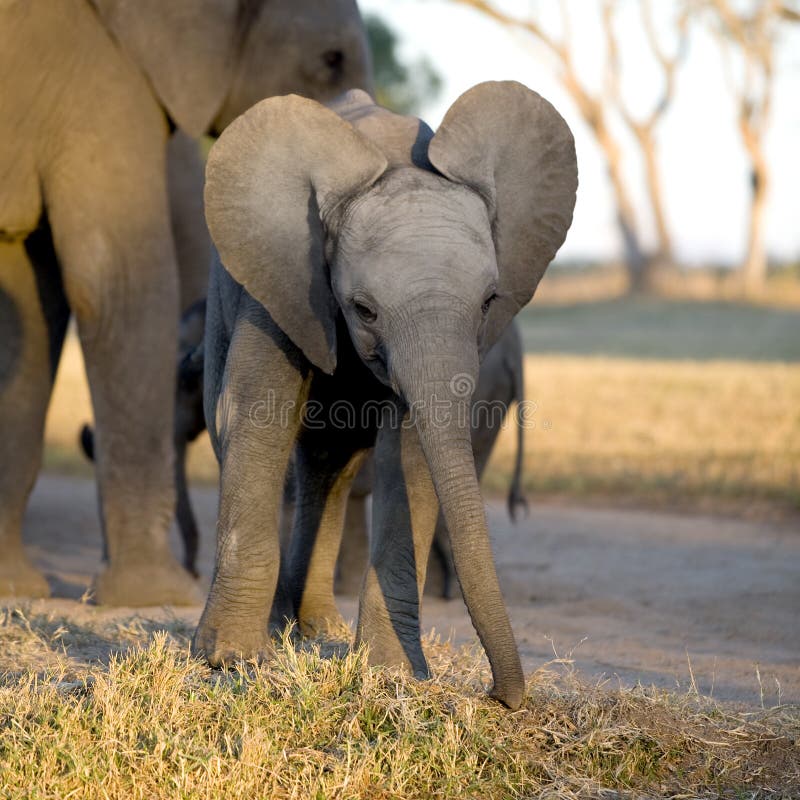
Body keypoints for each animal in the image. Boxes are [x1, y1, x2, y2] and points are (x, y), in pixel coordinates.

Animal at [0, 0, 371, 604]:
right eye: (331, 59)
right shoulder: (101, 72)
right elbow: (119, 277)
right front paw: (156, 595)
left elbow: (33, 308)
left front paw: (15, 585)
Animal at [194, 83, 577, 709]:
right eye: (364, 310)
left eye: (489, 302)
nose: (500, 696)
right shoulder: (276, 278)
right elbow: (256, 414)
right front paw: (230, 661)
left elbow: (411, 452)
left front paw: (391, 675)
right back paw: (284, 632)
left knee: (331, 462)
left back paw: (316, 629)